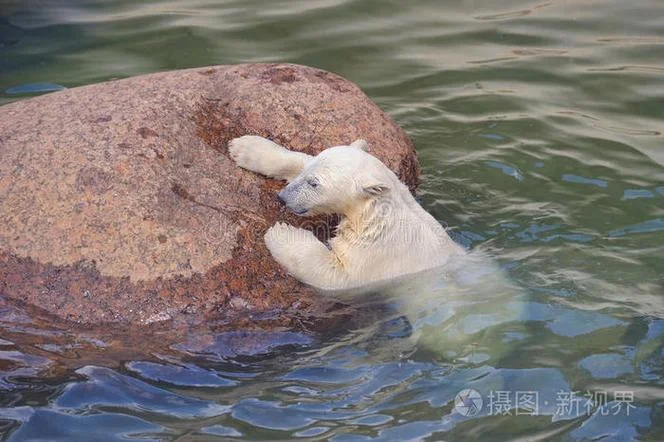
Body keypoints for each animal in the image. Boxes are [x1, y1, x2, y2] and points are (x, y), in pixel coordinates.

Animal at [228, 135, 466, 291]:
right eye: (307, 175)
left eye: (314, 183)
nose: (282, 197)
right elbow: (301, 158)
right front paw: (243, 147)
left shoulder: (379, 253)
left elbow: (335, 274)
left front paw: (281, 232)